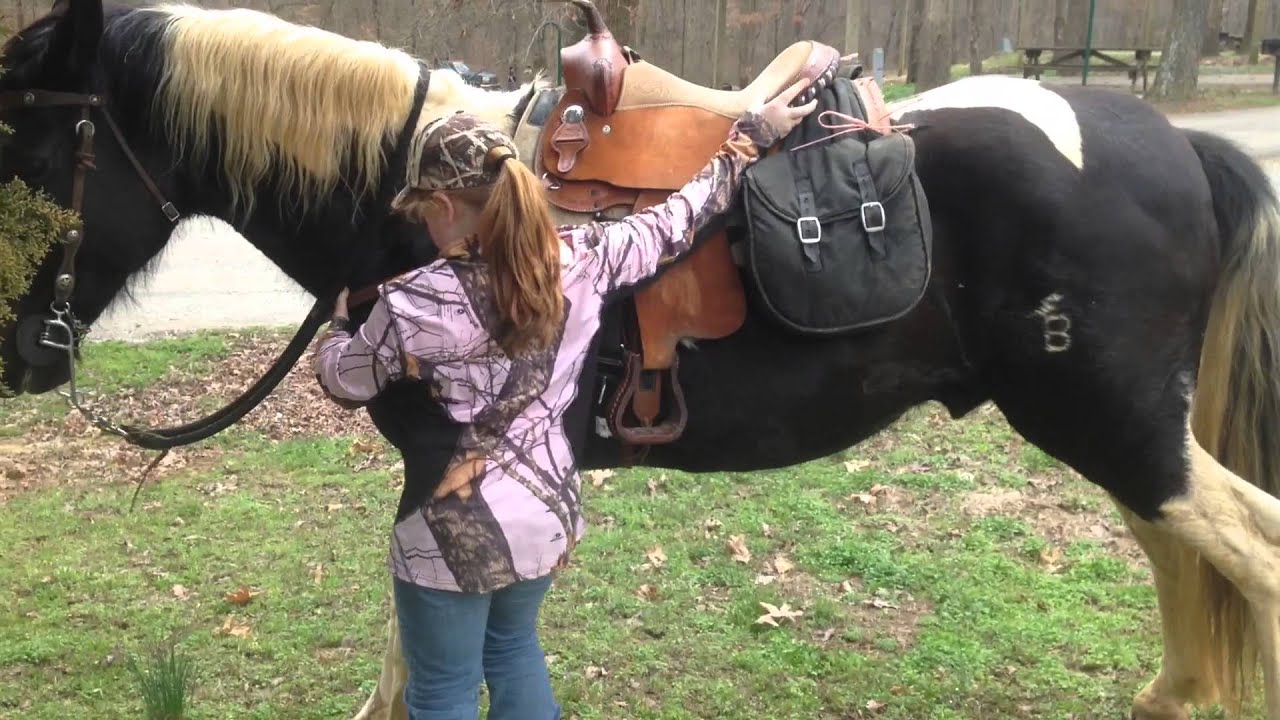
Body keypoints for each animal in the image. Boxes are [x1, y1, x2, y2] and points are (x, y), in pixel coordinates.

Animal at [3, 2, 1280, 719]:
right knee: (1180, 558)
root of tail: (1177, 145)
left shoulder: (438, 467)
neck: (420, 197)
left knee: (1243, 554)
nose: (23, 358)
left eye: (29, 143)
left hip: (1111, 423)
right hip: (1121, 431)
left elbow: (417, 645)